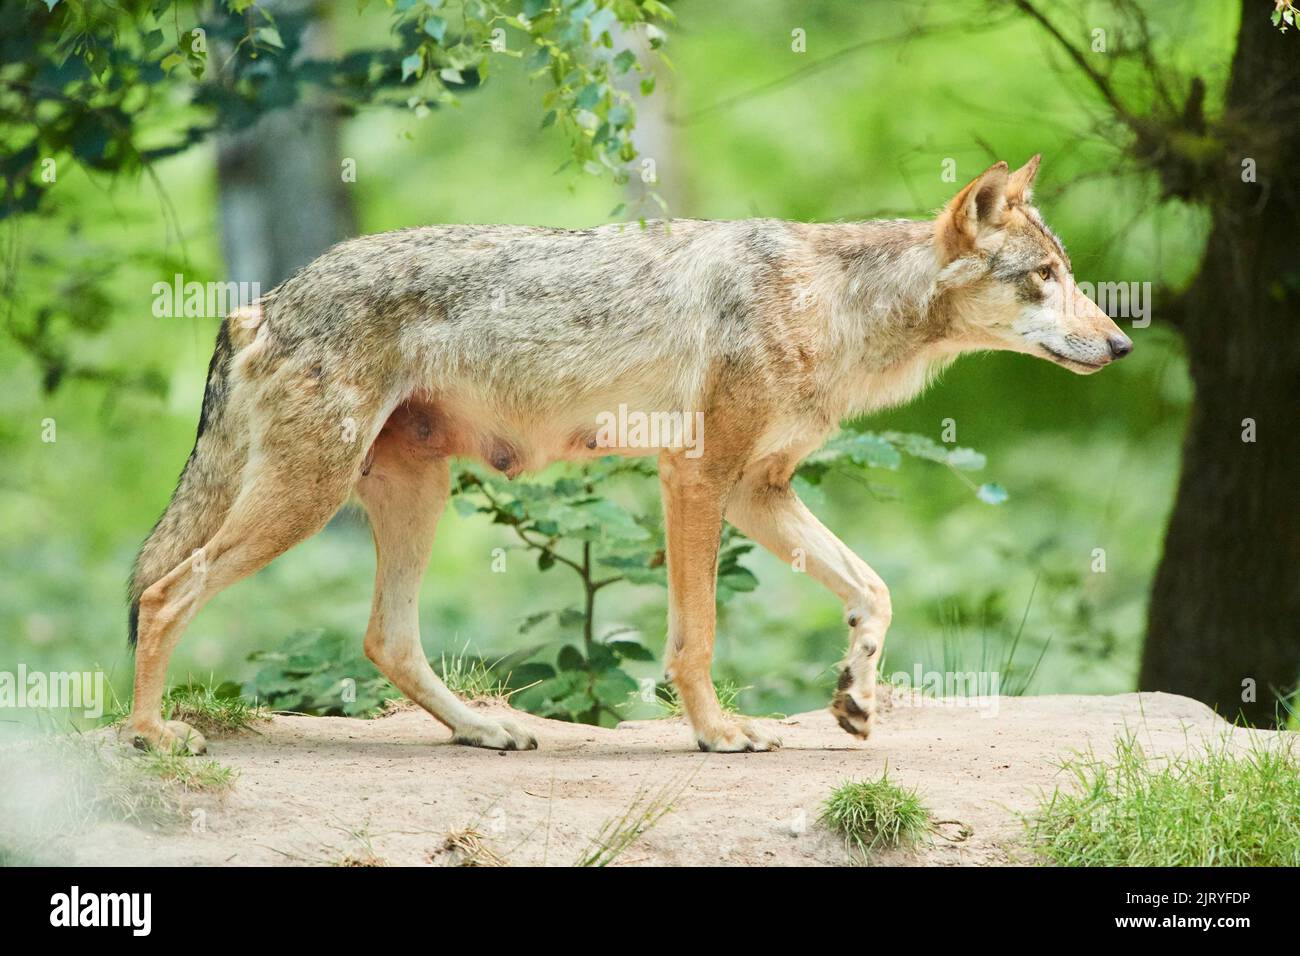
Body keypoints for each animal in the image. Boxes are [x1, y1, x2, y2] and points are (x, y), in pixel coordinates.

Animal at [124, 156, 1131, 755]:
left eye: (1071, 276)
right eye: (1045, 278)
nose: (1123, 345)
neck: (837, 309)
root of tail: (260, 302)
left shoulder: (761, 491)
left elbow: (874, 590)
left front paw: (854, 698)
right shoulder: (698, 479)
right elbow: (699, 637)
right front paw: (721, 734)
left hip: (415, 497)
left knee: (386, 638)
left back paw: (483, 731)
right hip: (307, 499)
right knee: (163, 594)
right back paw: (150, 735)